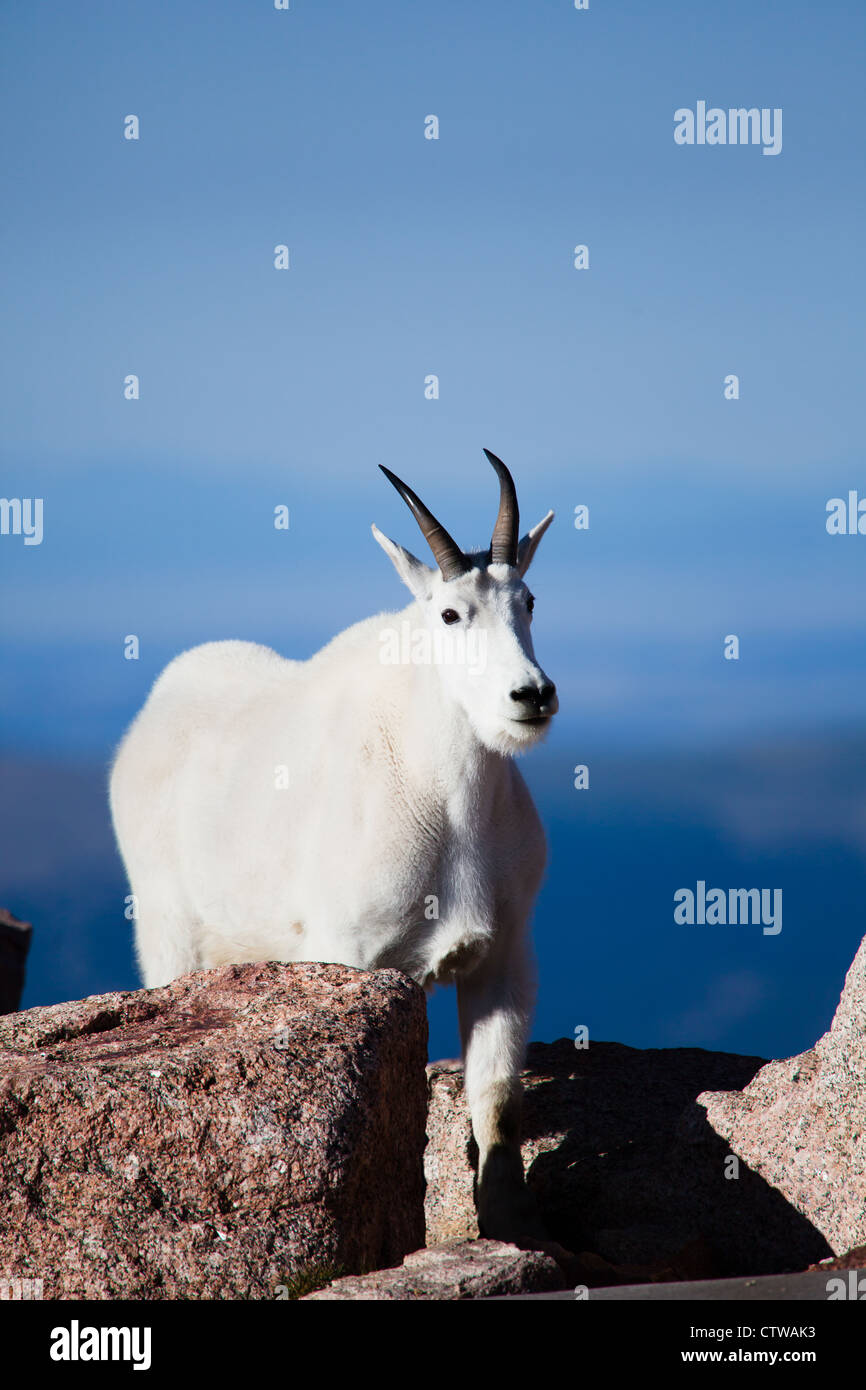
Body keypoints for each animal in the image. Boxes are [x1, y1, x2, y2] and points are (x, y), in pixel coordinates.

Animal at [110, 450, 558, 1243]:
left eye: (529, 600)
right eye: (450, 613)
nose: (530, 697)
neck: (451, 801)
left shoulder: (503, 956)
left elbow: (498, 1102)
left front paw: (509, 1223)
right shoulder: (351, 955)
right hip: (166, 932)